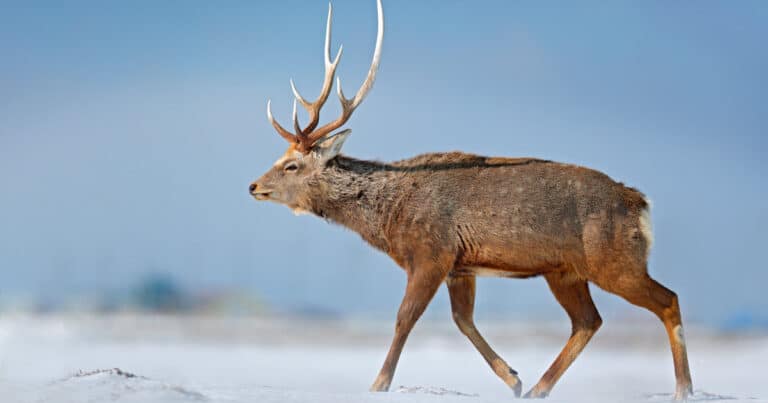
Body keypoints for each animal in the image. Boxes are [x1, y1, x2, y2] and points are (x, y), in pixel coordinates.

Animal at [248, 0, 693, 399]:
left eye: (291, 165)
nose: (253, 186)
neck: (390, 217)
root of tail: (639, 203)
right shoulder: (460, 265)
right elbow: (462, 320)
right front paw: (512, 378)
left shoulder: (432, 252)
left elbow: (405, 318)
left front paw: (378, 384)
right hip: (565, 270)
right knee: (588, 320)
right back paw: (538, 388)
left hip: (613, 259)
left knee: (667, 300)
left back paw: (683, 389)